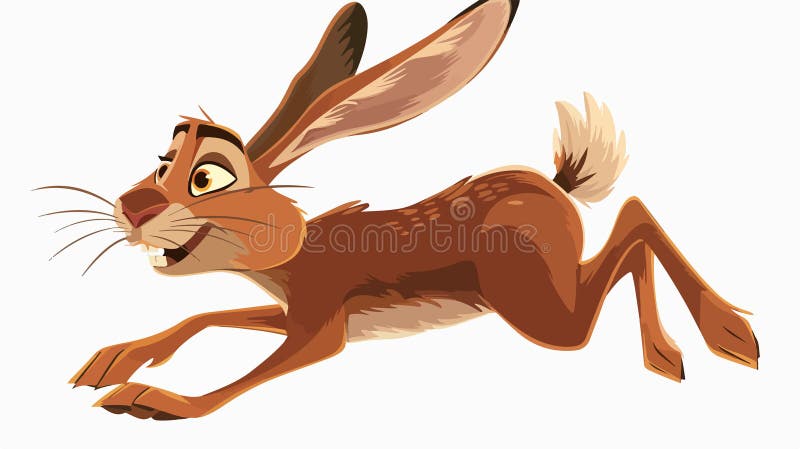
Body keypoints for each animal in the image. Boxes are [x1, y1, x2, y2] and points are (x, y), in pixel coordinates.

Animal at [41, 0, 758, 420]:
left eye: (208, 176)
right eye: (161, 161)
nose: (132, 208)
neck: (297, 252)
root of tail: (558, 186)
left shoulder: (321, 328)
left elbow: (240, 381)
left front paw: (153, 401)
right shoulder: (292, 311)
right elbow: (205, 314)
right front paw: (112, 361)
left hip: (537, 309)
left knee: (631, 225)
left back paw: (713, 340)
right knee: (633, 220)